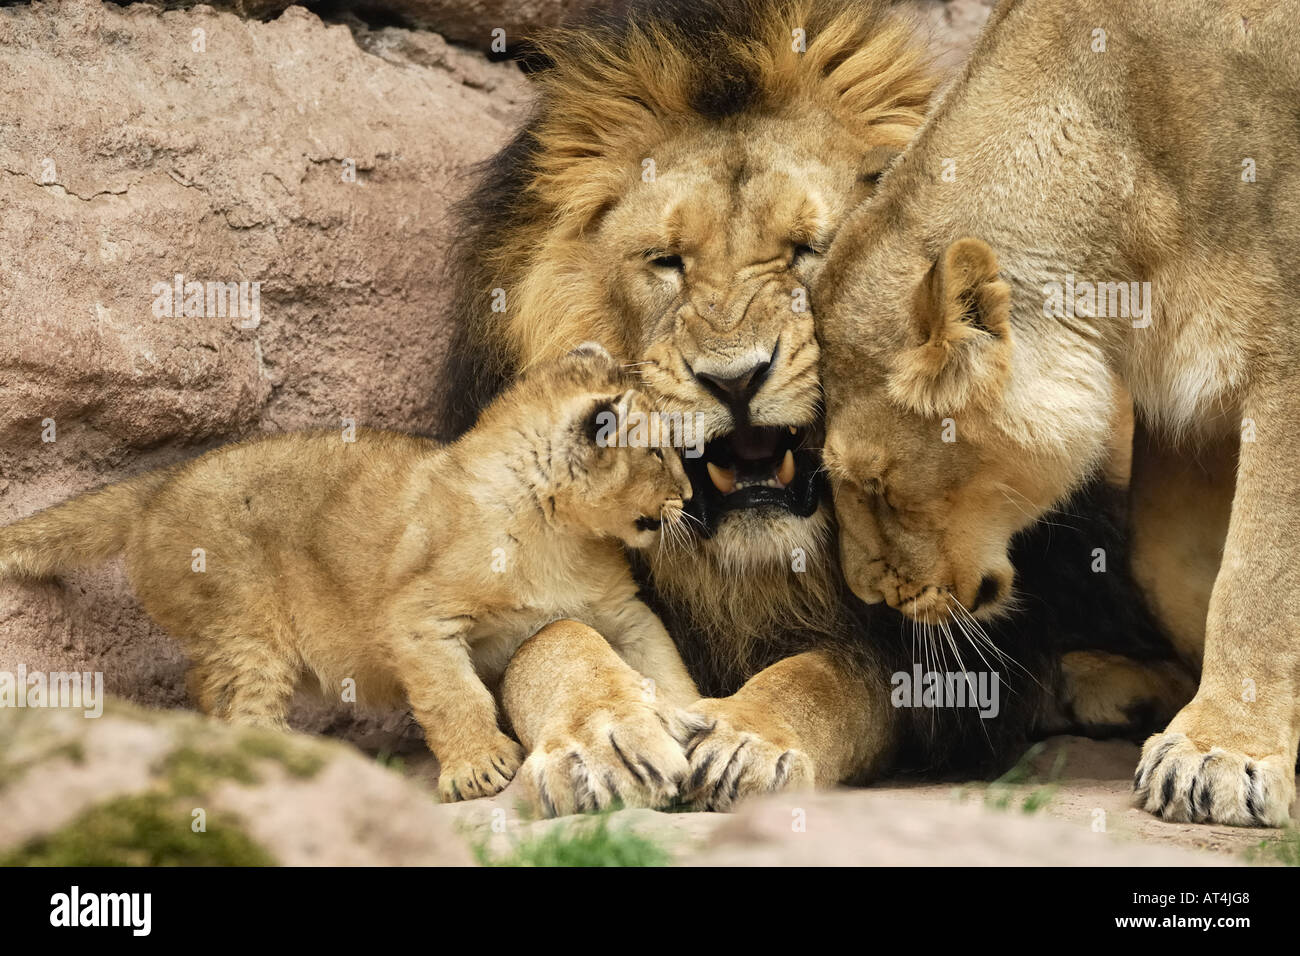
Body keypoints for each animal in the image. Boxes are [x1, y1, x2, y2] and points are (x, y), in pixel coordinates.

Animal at [0, 346, 699, 805]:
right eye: (657, 451)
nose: (690, 494)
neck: (558, 530)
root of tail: (155, 489)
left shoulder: (621, 611)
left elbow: (663, 663)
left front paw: (697, 719)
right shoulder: (417, 619)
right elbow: (455, 695)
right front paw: (477, 770)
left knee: (205, 683)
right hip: (246, 624)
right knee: (244, 704)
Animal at [447, 0, 1193, 815]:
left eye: (811, 248)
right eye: (668, 261)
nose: (735, 379)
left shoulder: (932, 658)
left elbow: (829, 676)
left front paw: (748, 738)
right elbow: (547, 642)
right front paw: (601, 736)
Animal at [817, 0, 1300, 826]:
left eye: (879, 488)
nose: (865, 595)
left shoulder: (1286, 366)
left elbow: (1258, 578)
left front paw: (1222, 752)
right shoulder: (1195, 387)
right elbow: (1173, 565)